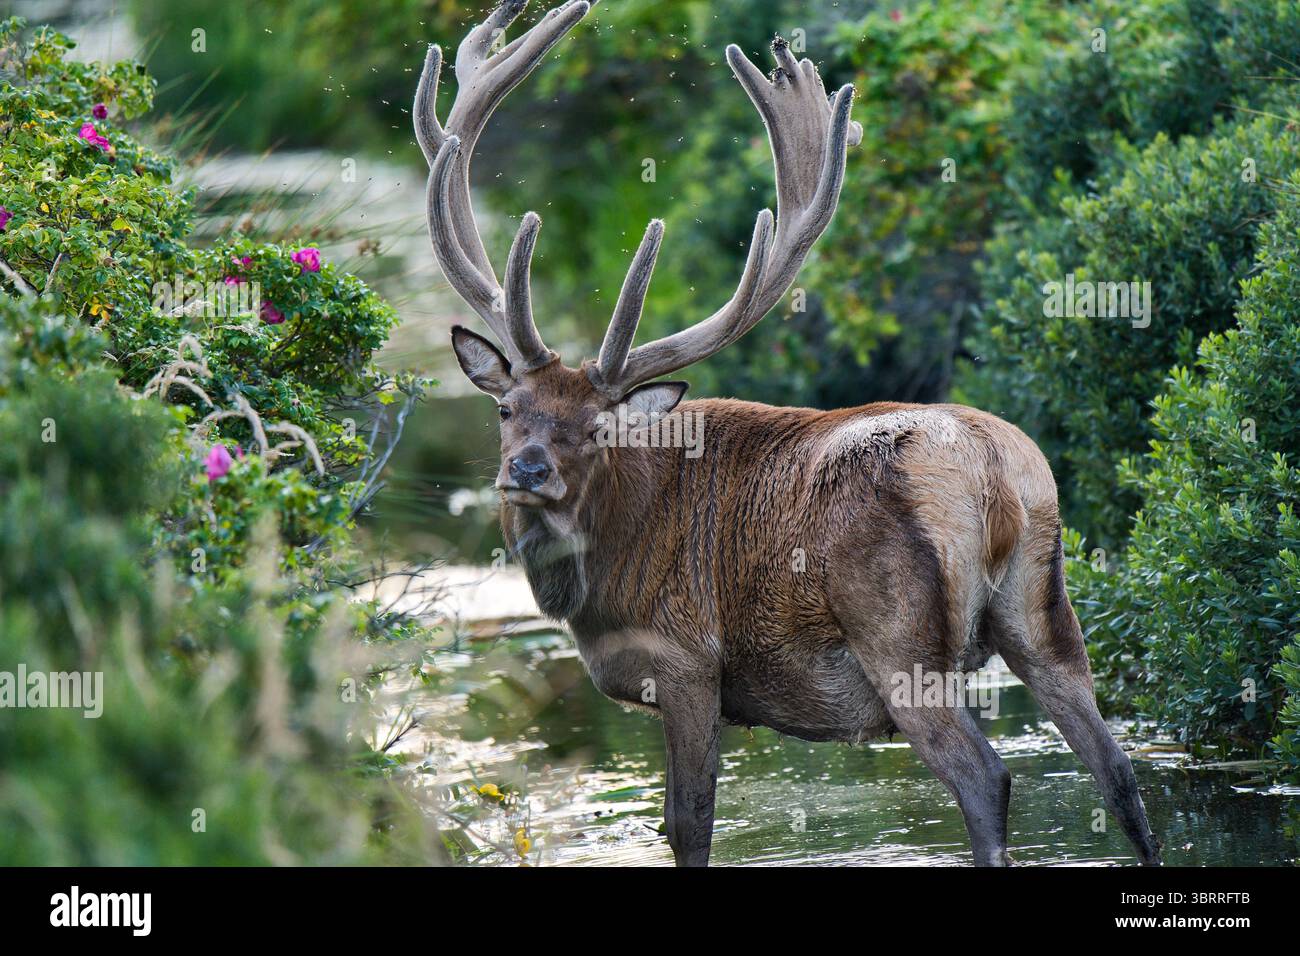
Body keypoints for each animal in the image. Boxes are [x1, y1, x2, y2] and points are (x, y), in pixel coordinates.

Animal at [414, 0, 1162, 867]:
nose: (527, 470)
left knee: (986, 776)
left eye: (594, 428)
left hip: (900, 636)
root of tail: (996, 474)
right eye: (508, 409)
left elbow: (688, 824)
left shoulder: (686, 664)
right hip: (1045, 607)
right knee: (1118, 772)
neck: (597, 583)